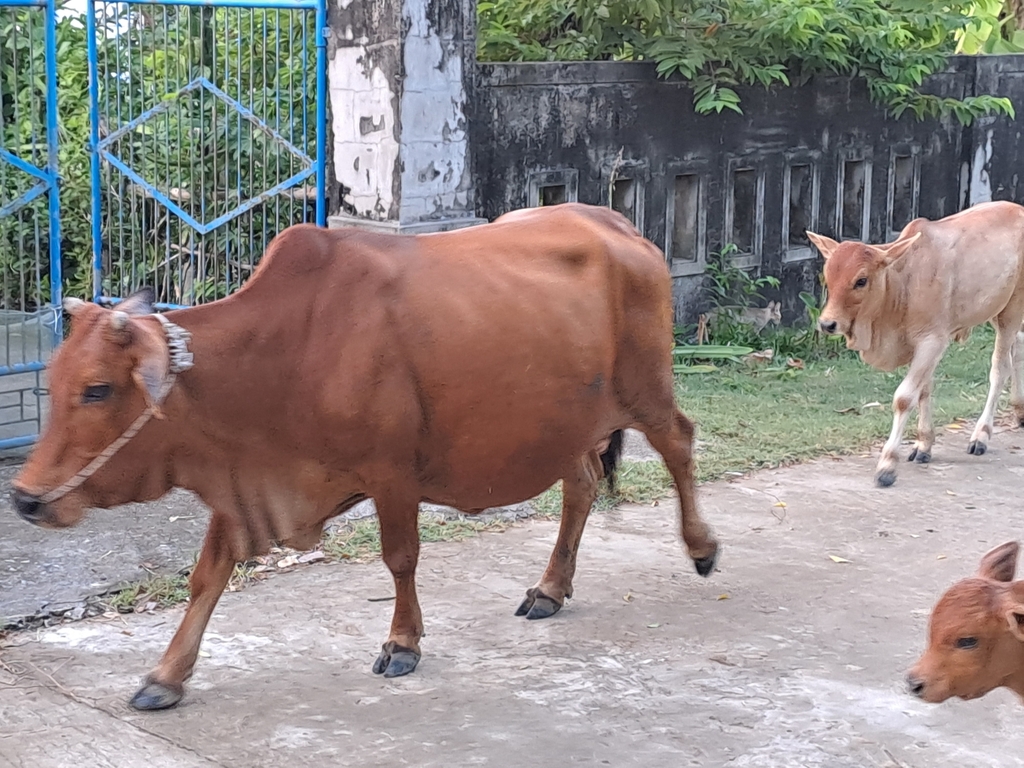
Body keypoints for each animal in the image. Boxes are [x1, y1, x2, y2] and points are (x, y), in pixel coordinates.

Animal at [10, 203, 720, 711]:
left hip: (646, 389)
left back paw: (702, 548)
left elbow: (400, 558)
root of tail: (618, 224)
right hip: (563, 424)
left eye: (96, 389)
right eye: (54, 378)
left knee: (679, 443)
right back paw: (549, 589)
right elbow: (207, 576)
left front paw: (402, 643)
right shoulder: (241, 486)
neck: (280, 355)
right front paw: (166, 675)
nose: (24, 497)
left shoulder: (391, 472)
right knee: (582, 483)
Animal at [807, 200, 1024, 488]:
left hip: (1011, 309)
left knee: (1000, 369)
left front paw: (887, 465)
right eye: (828, 277)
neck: (902, 283)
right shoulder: (920, 347)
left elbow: (904, 398)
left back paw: (981, 434)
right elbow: (924, 391)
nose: (827, 324)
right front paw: (924, 445)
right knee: (1019, 346)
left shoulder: (932, 342)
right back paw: (1019, 411)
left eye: (861, 280)